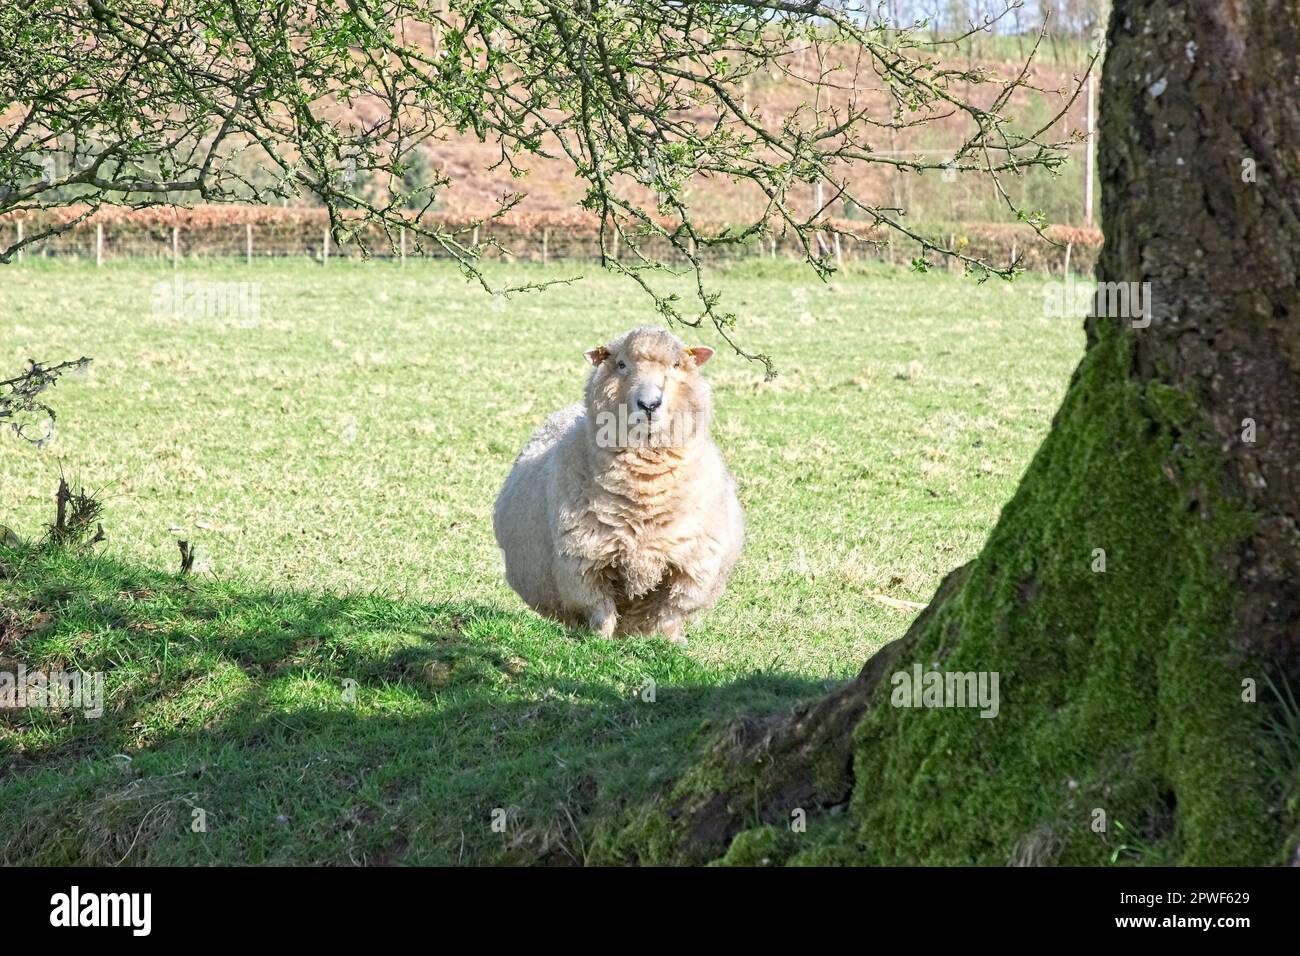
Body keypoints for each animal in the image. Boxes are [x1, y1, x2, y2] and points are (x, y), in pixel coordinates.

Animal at [493, 326, 744, 643]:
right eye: (622, 364)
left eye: (676, 365)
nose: (649, 405)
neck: (646, 489)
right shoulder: (585, 563)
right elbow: (601, 611)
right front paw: (599, 642)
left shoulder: (690, 567)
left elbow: (671, 613)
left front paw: (672, 644)